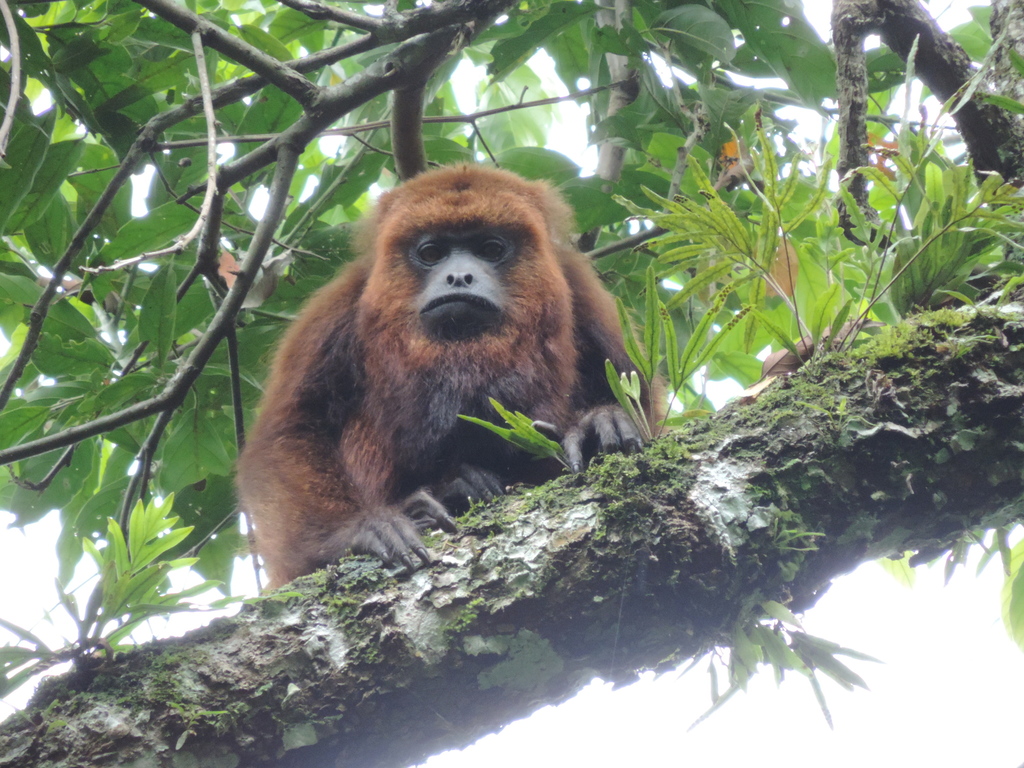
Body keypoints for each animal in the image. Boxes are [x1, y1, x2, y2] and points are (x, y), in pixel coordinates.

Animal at [236, 165, 660, 588]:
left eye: (490, 249)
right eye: (431, 253)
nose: (459, 276)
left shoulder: (577, 284)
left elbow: (637, 392)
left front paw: (598, 423)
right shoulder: (342, 303)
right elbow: (290, 432)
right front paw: (358, 530)